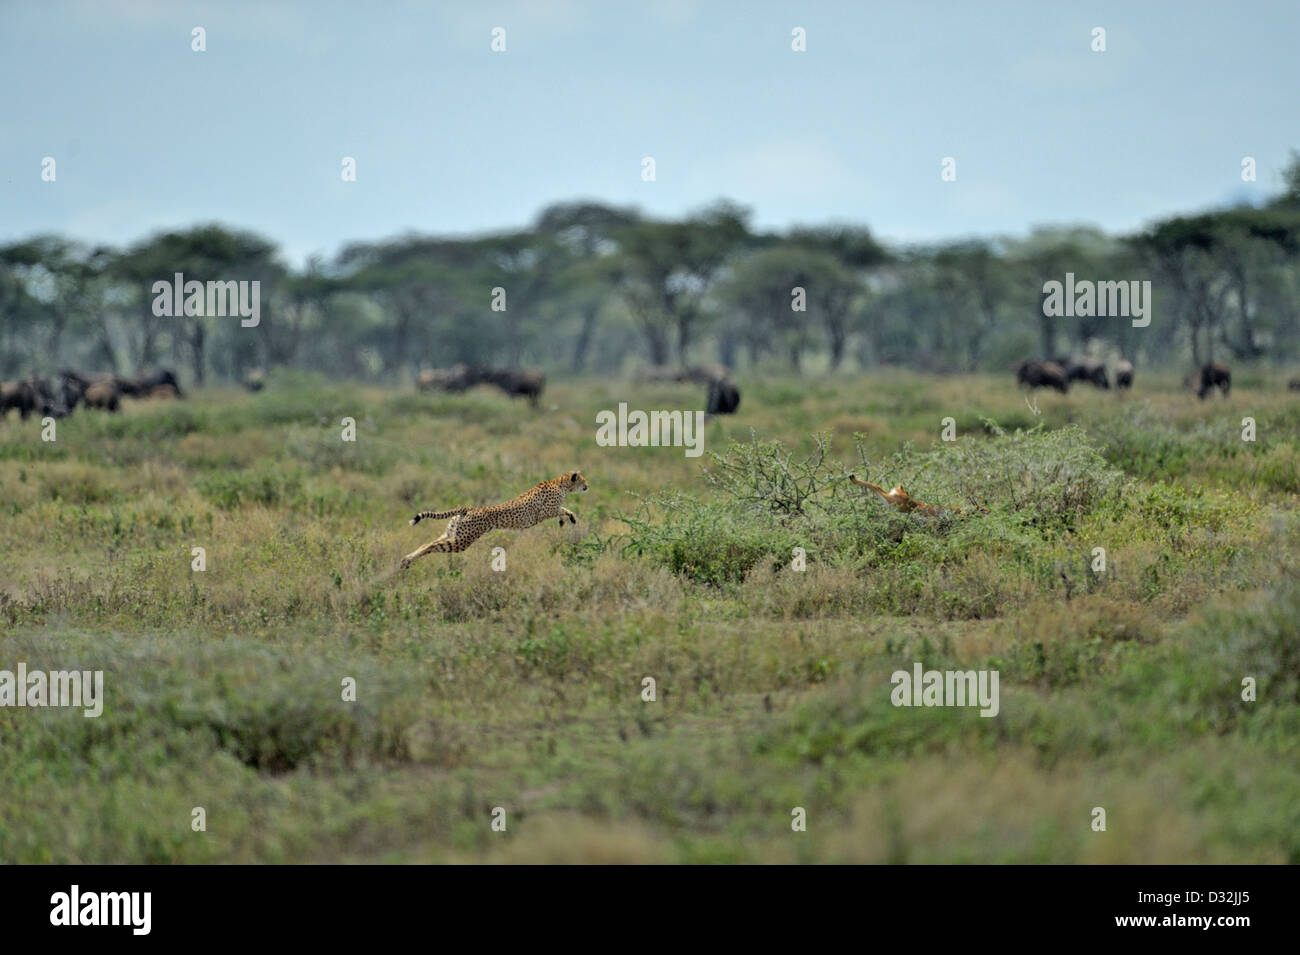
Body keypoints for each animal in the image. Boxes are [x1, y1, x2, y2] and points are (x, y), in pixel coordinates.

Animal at [400, 471, 588, 568]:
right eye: (583, 481)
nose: (587, 486)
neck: (561, 483)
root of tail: (469, 508)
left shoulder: (549, 512)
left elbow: (562, 512)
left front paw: (564, 522)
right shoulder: (546, 512)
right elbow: (564, 509)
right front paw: (571, 517)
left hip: (453, 533)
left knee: (427, 543)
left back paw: (407, 559)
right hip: (462, 540)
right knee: (432, 546)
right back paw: (407, 561)